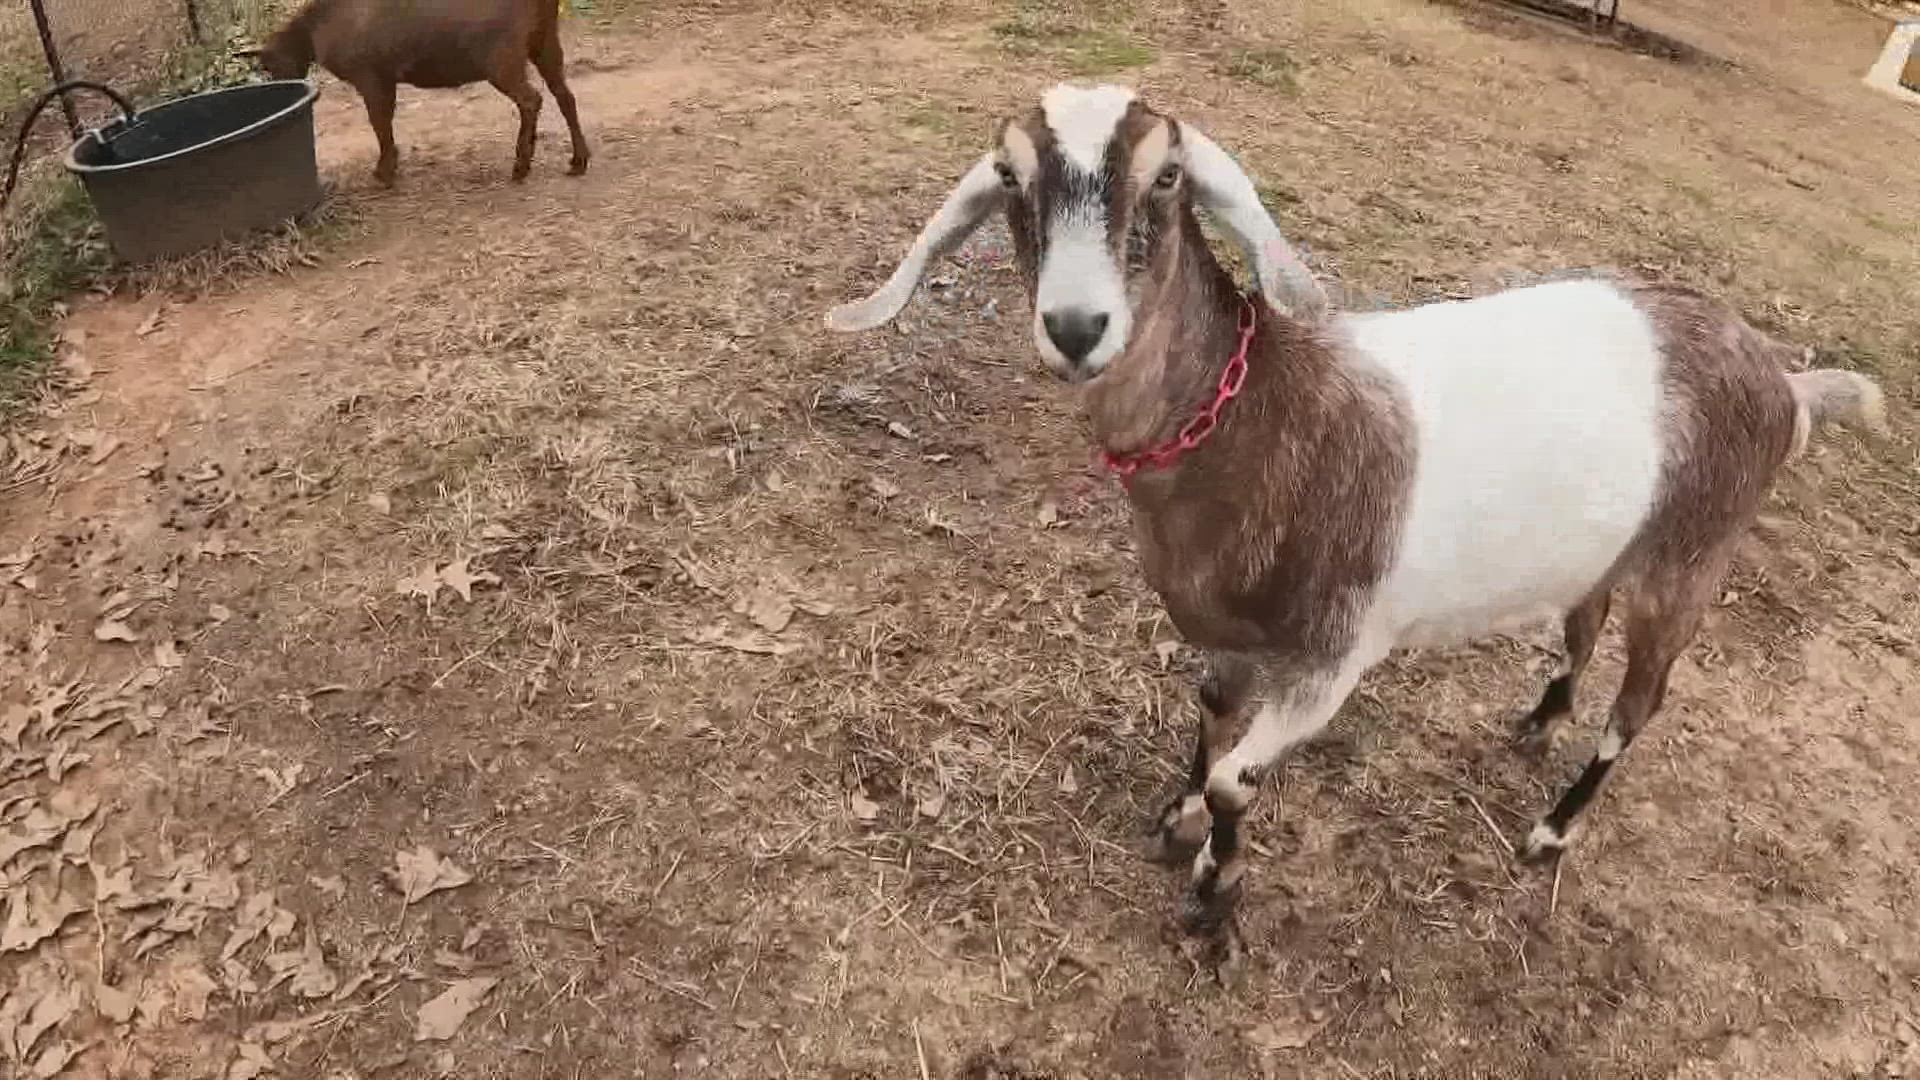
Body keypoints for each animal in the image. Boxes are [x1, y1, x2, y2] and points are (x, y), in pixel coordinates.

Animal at [247, 0, 589, 185]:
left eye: (269, 65)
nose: (282, 85)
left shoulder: (371, 77)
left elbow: (380, 123)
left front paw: (385, 171)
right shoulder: (384, 79)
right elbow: (385, 122)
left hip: (501, 58)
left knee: (531, 100)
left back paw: (521, 165)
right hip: (544, 42)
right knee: (565, 96)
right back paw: (578, 160)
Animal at [826, 83, 1888, 947]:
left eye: (1165, 175)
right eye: (1011, 175)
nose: (1078, 327)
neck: (1259, 421)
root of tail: (1784, 384)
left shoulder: (1334, 658)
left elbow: (1237, 779)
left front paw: (1214, 891)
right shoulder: (1226, 640)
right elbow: (1209, 721)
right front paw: (1177, 823)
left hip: (1692, 560)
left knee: (1639, 710)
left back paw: (1553, 829)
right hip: (1603, 548)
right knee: (1582, 627)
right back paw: (1539, 718)